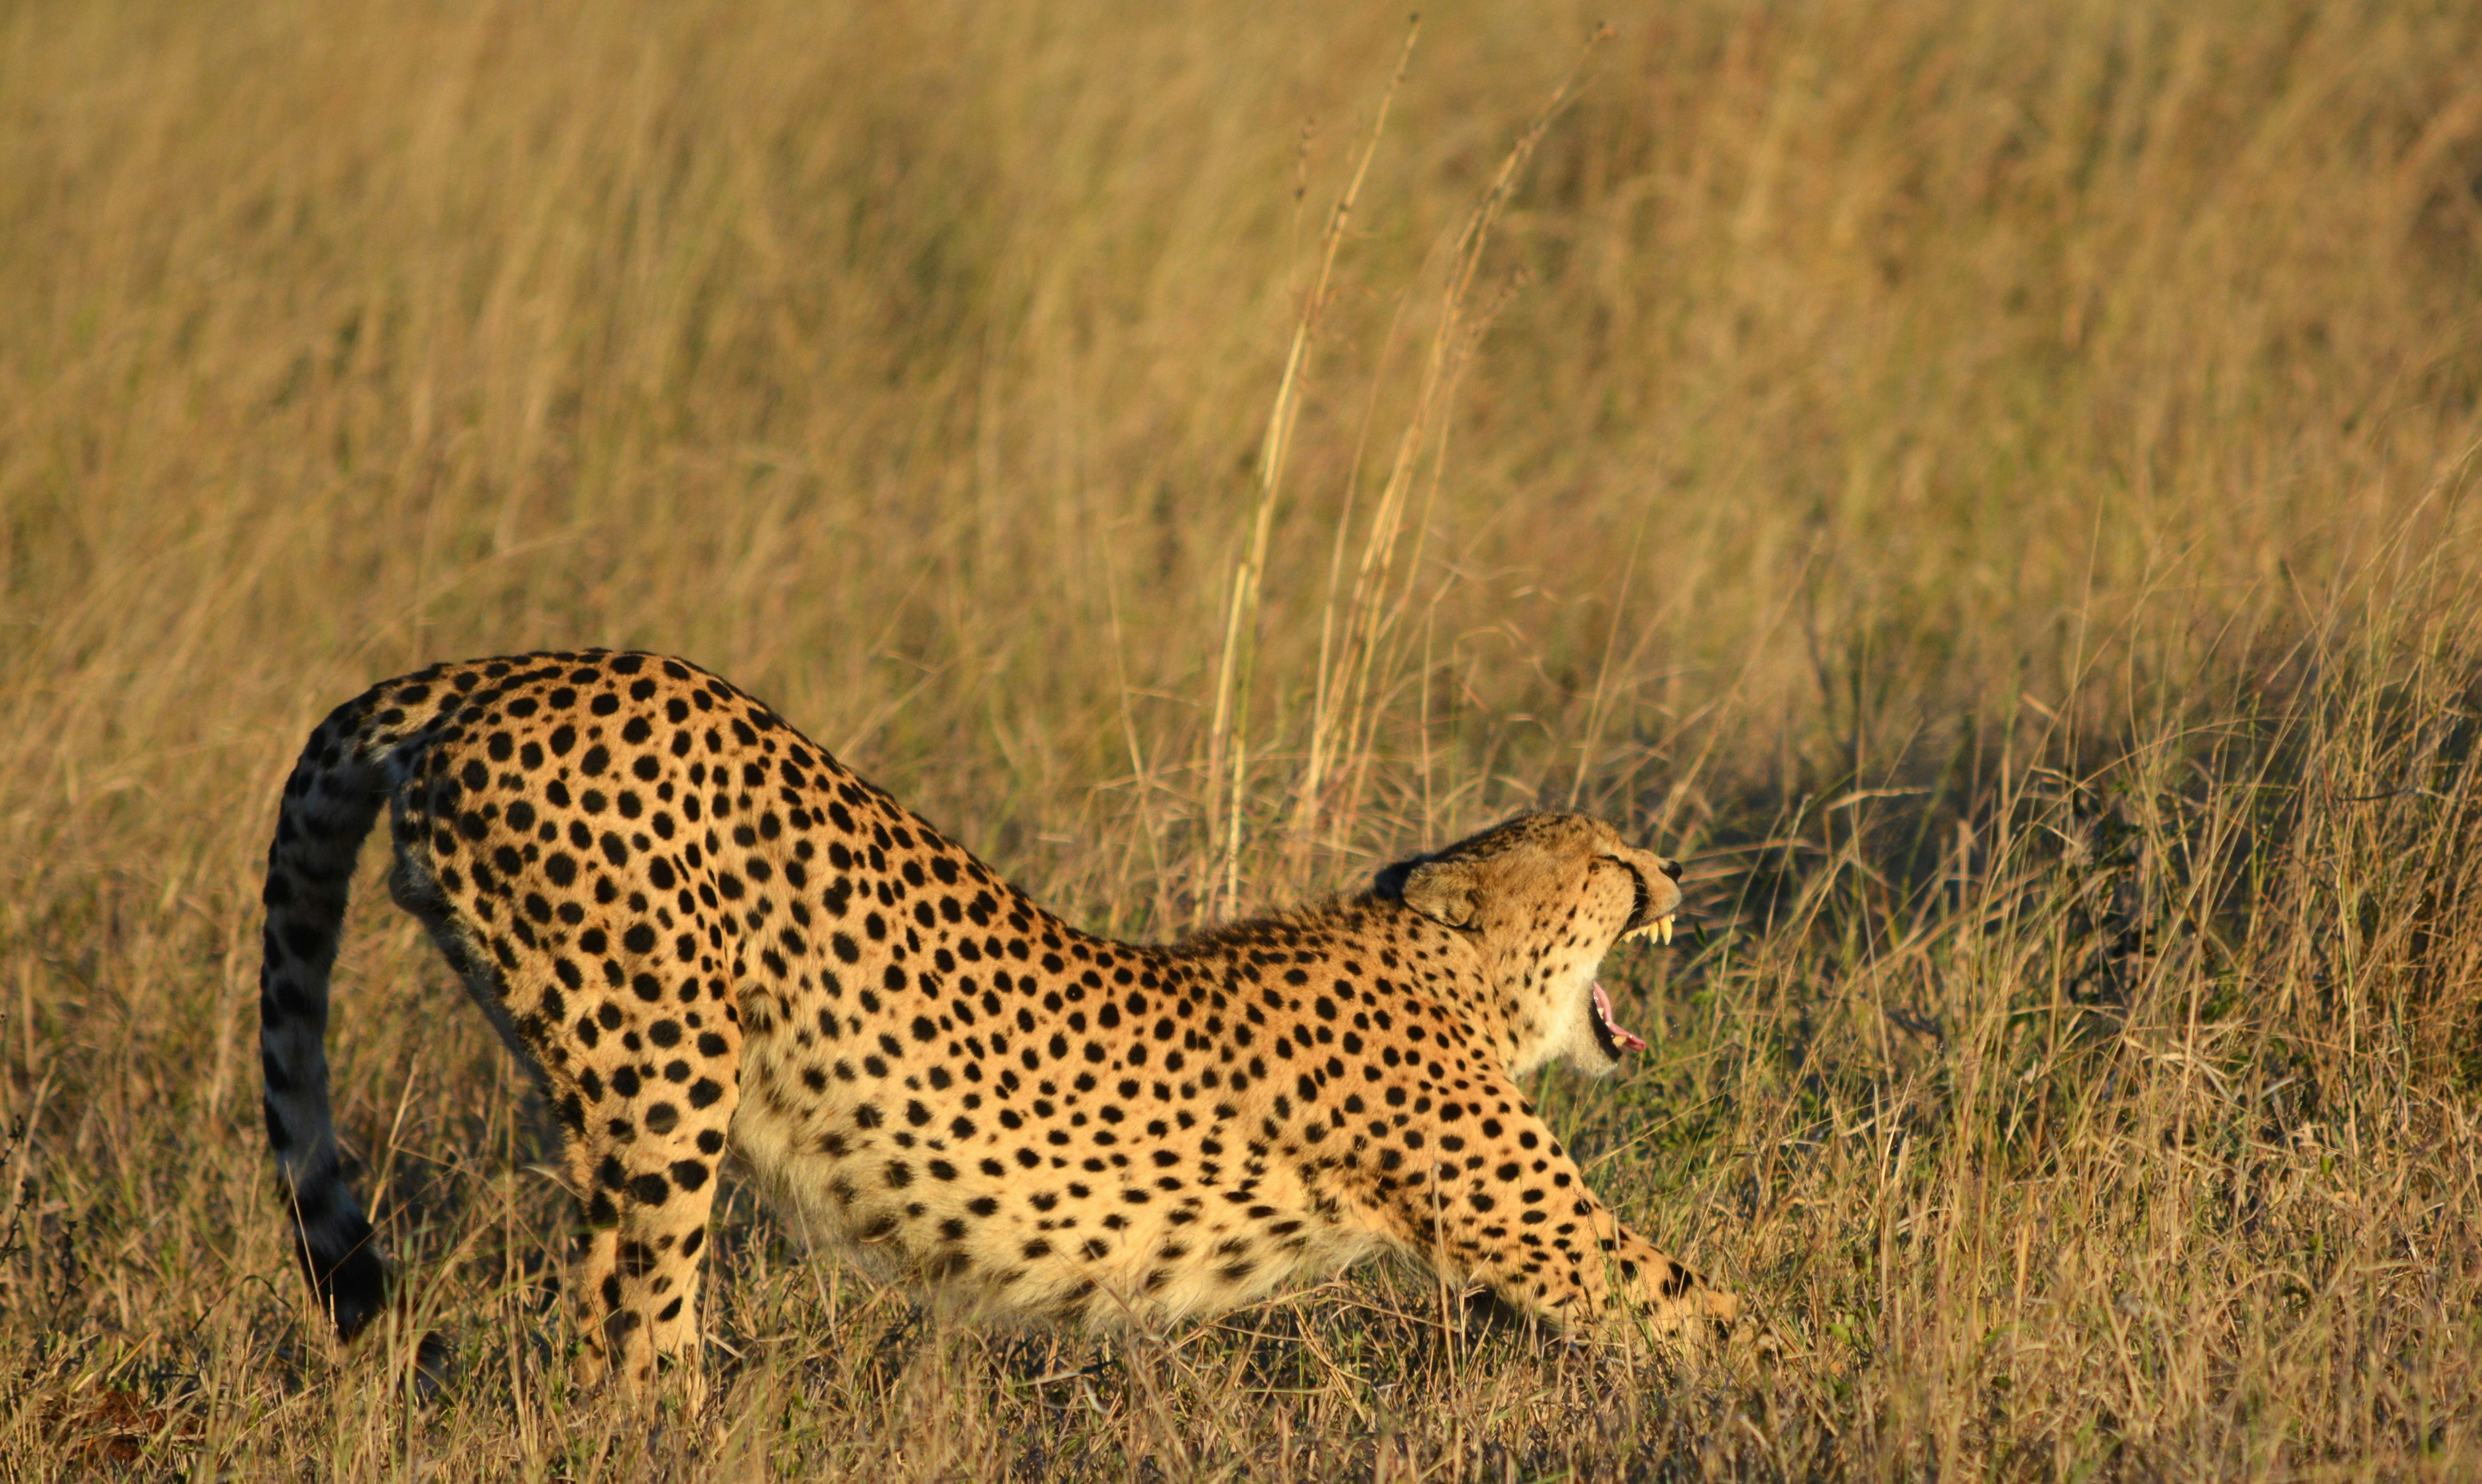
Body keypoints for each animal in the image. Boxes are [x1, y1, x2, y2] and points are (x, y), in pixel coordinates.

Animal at [258, 649, 1740, 1395]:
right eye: (1606, 860)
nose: (1670, 871)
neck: (1448, 971)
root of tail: (509, 667)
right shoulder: (1532, 1226)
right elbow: (1702, 1308)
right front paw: (1792, 1403)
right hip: (662, 1075)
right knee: (626, 1320)